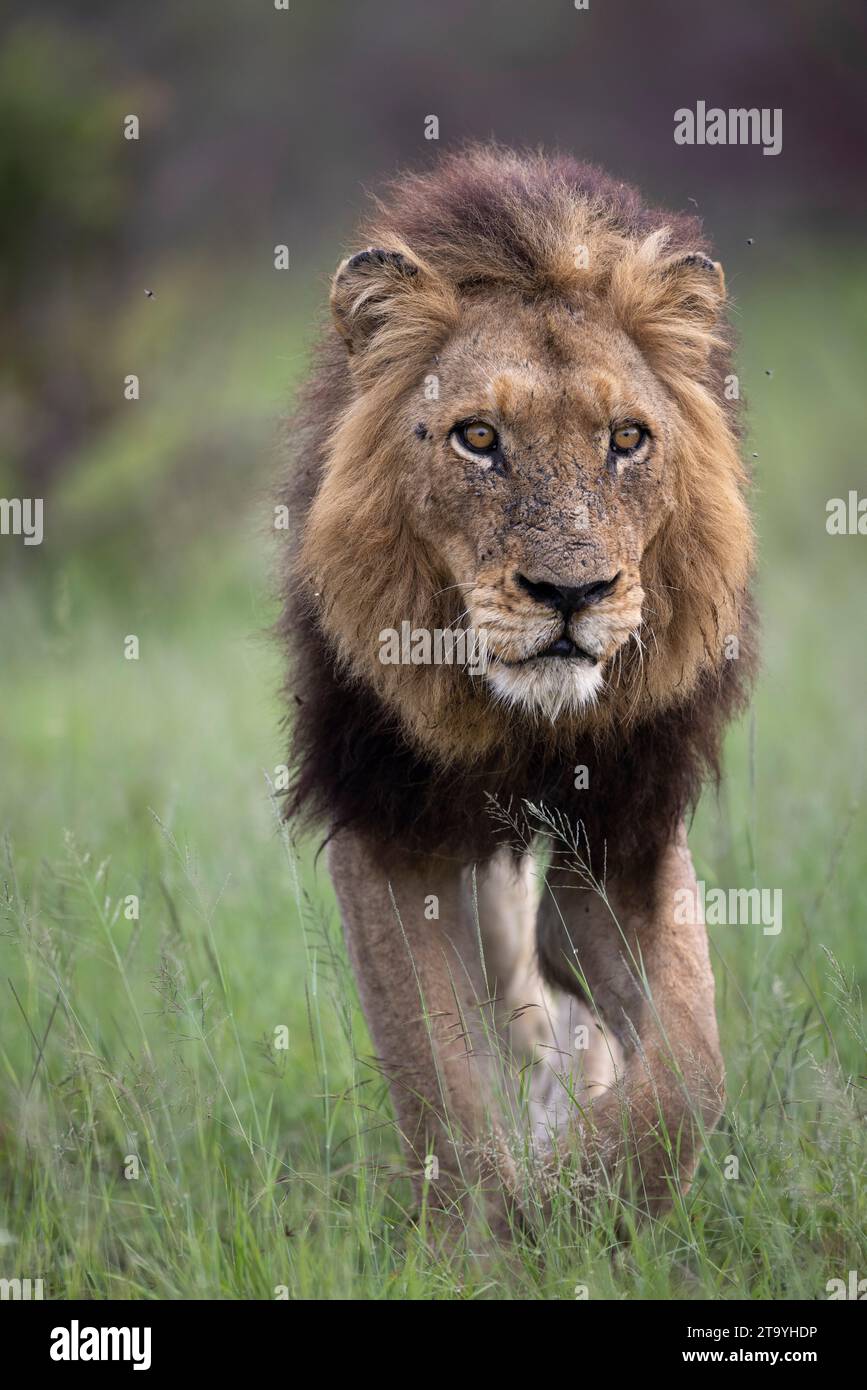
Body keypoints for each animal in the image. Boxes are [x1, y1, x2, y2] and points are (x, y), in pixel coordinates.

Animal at [277, 145, 756, 1236]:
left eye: (626, 439)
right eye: (478, 438)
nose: (572, 592)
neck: (527, 722)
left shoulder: (627, 820)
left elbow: (692, 1071)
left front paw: (587, 1185)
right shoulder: (388, 819)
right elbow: (440, 1086)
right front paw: (493, 1232)